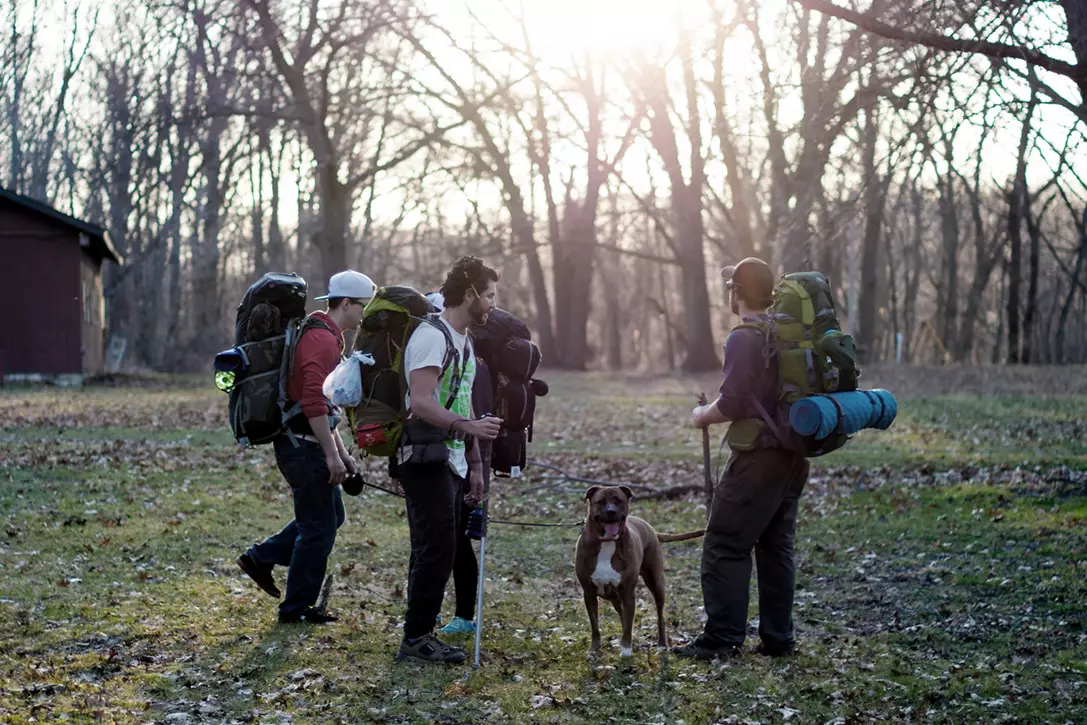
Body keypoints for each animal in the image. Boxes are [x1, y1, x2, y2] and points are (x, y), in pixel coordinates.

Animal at [578, 486, 704, 656]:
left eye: (618, 500)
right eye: (601, 501)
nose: (611, 511)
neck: (607, 542)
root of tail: (651, 528)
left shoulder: (628, 593)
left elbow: (628, 623)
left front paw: (626, 650)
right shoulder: (589, 593)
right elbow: (595, 625)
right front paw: (594, 650)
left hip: (656, 583)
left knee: (660, 616)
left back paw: (662, 645)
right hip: (615, 597)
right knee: (622, 614)